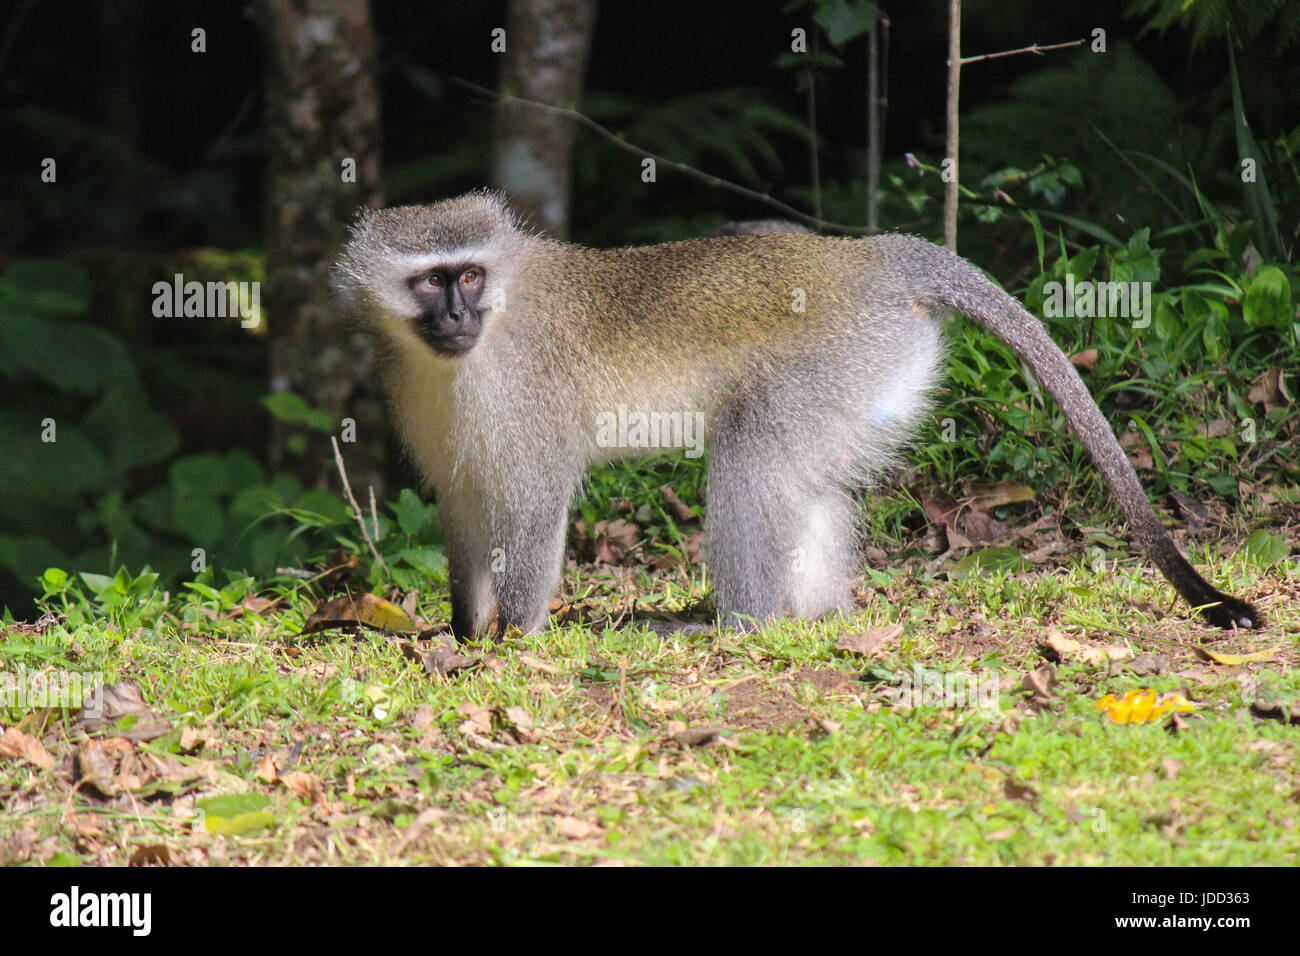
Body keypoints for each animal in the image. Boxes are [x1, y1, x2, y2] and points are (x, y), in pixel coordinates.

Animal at [333, 190, 1263, 640]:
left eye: (470, 276)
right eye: (432, 282)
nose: (458, 314)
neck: (473, 349)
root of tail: (861, 258)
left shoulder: (530, 404)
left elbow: (533, 508)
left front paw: (511, 640)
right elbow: (463, 508)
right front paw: (462, 629)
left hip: (842, 356)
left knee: (754, 454)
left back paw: (740, 628)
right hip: (874, 373)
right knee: (800, 475)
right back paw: (807, 617)